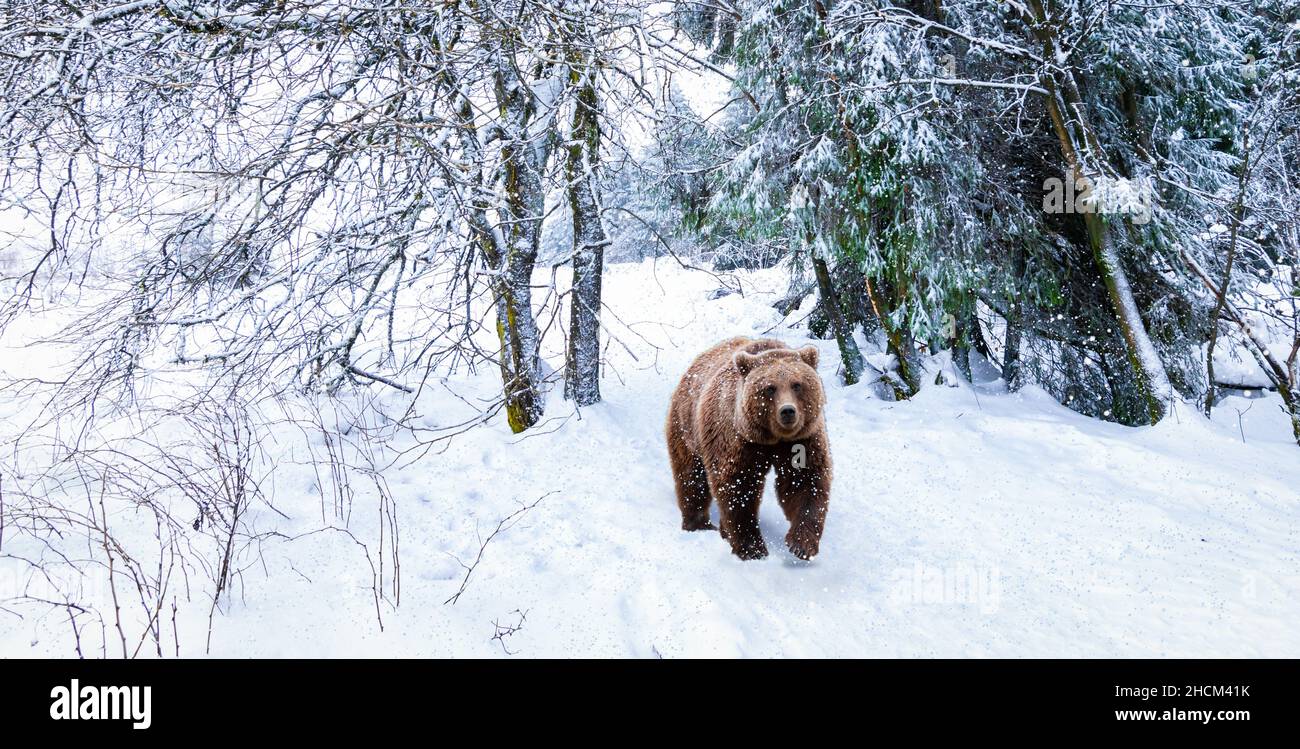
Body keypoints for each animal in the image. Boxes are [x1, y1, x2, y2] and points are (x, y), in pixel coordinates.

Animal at [665, 336, 832, 560]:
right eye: (770, 387)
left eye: (797, 384)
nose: (788, 411)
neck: (773, 438)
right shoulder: (737, 439)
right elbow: (738, 487)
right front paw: (753, 548)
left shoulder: (803, 438)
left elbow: (804, 481)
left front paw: (801, 544)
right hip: (687, 428)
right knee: (691, 477)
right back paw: (698, 524)